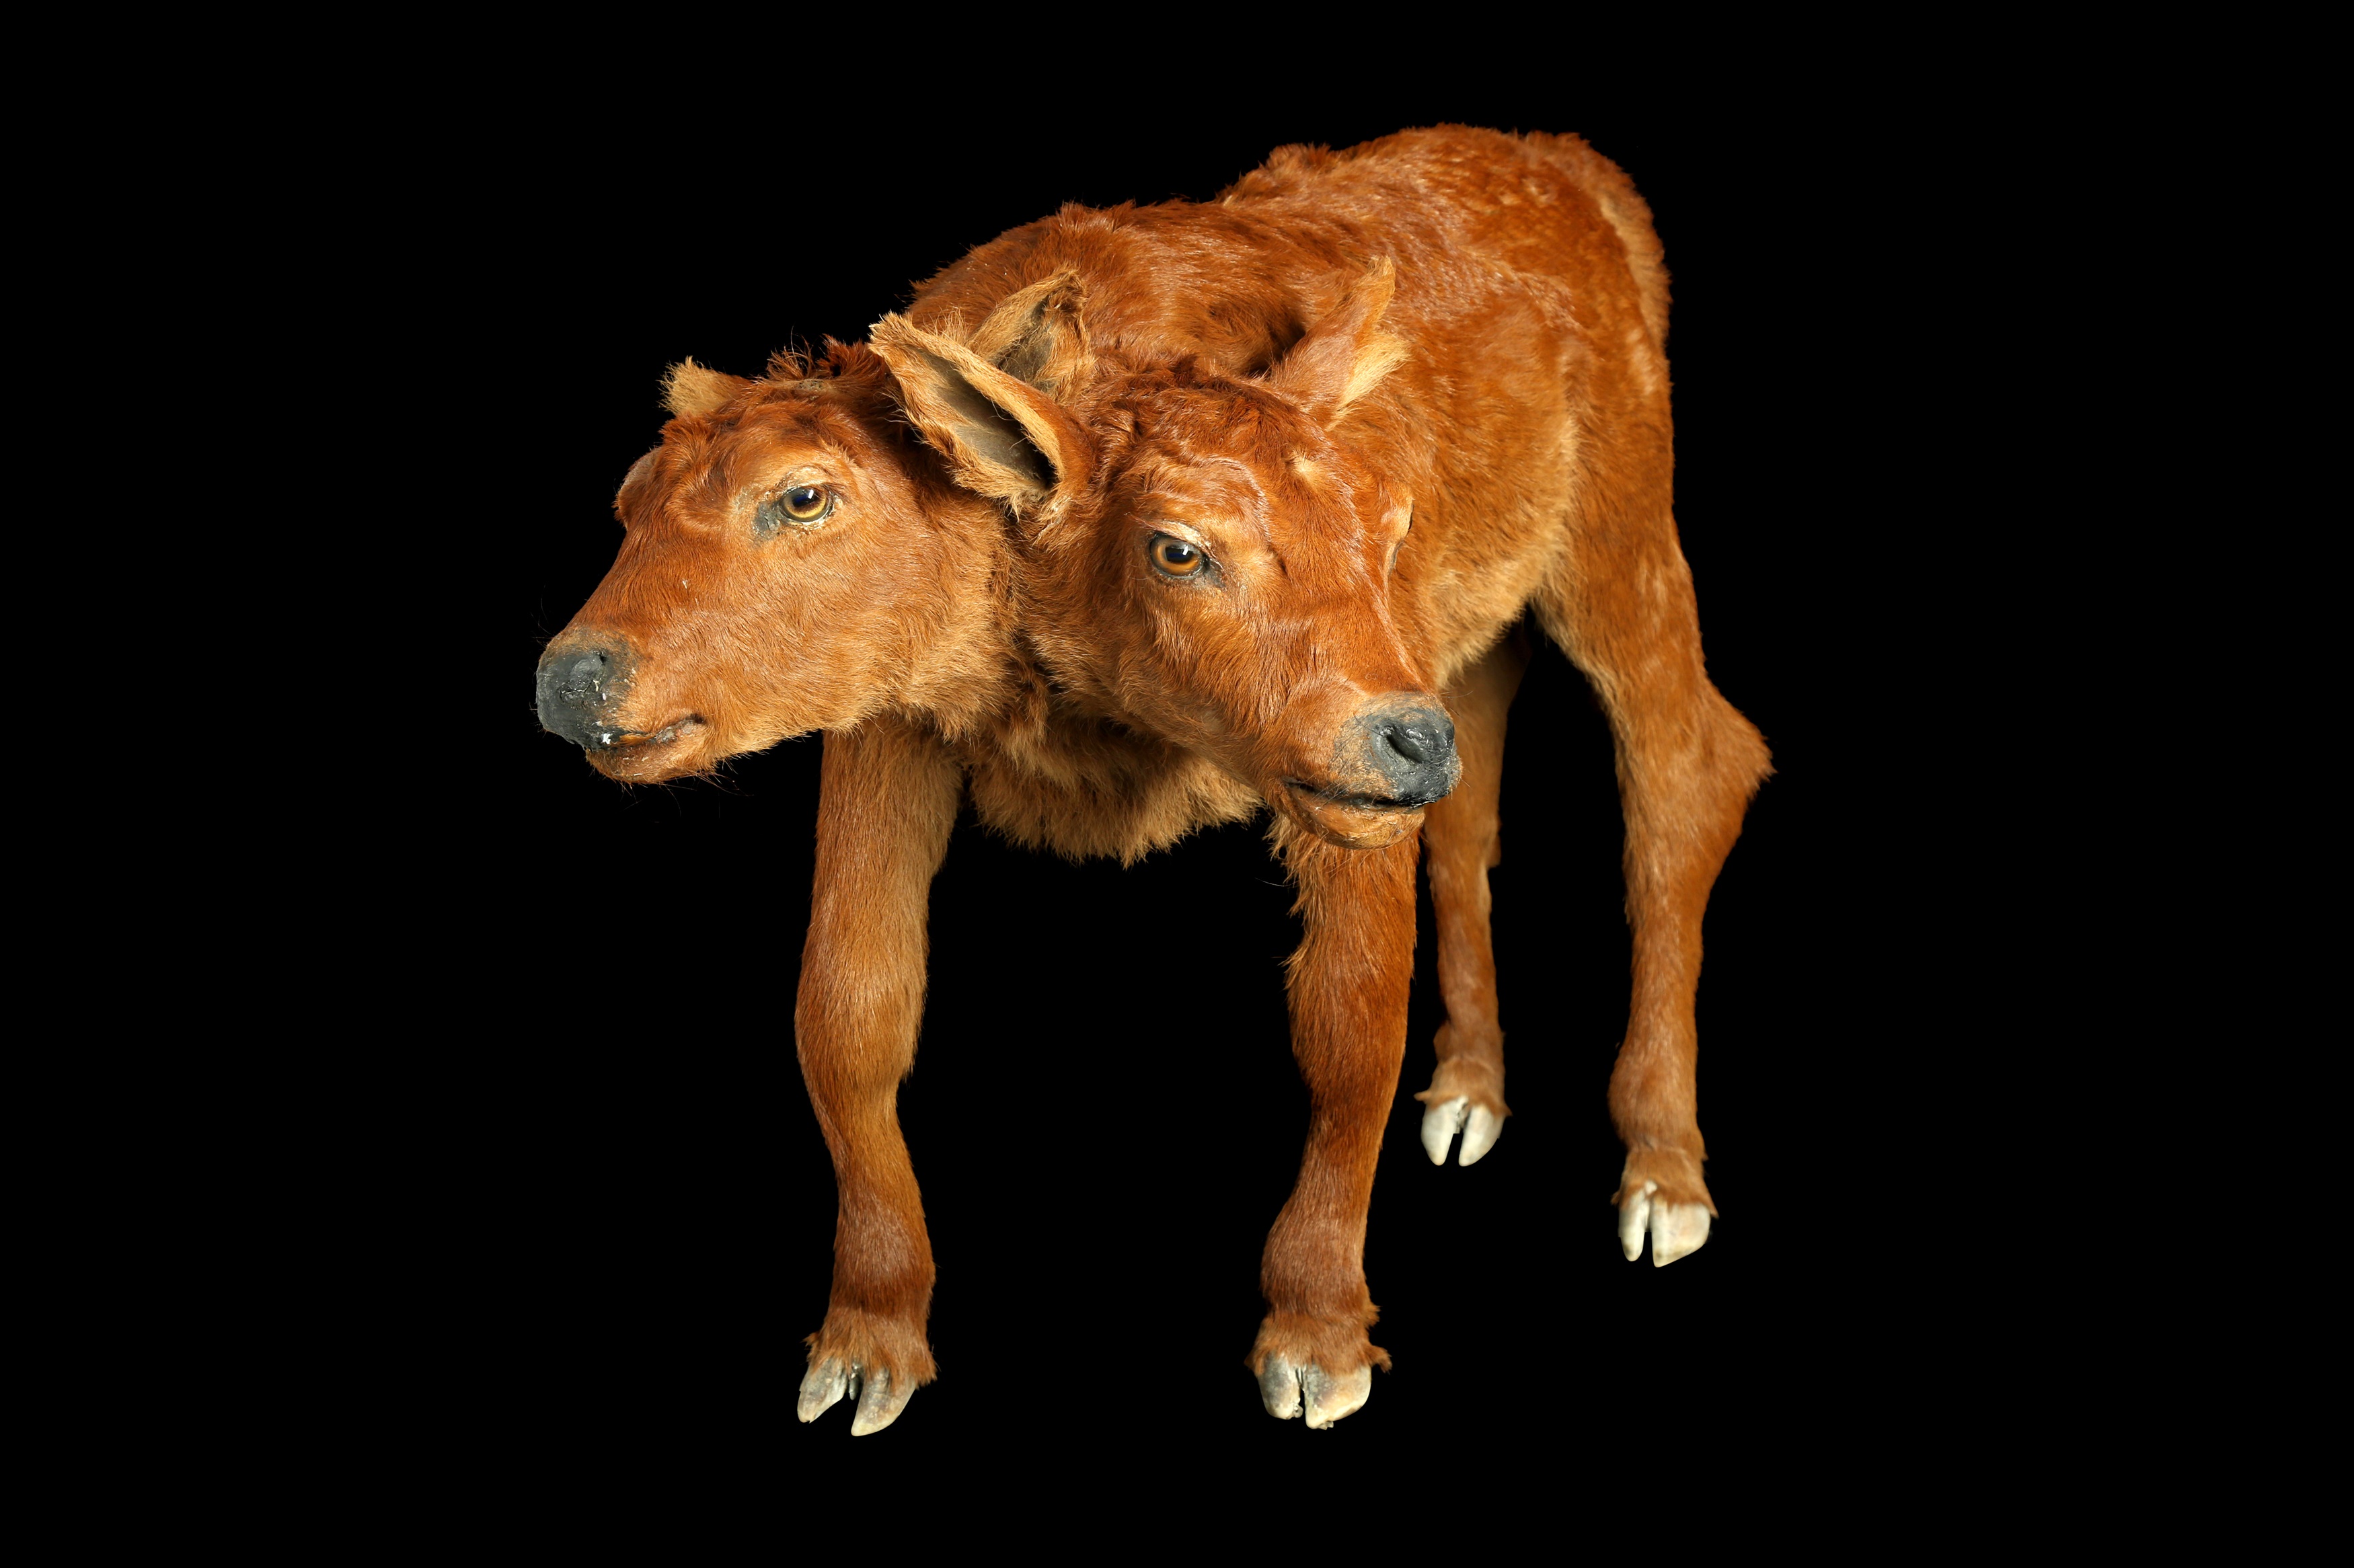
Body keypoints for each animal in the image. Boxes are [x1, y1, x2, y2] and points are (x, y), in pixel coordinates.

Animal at [534, 127, 1768, 1436]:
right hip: (1464, 661)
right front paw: (870, 1336)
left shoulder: (1336, 786)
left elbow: (1348, 1024)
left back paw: (1662, 1172)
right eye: (626, 506)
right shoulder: (890, 729)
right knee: (1473, 798)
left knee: (1686, 774)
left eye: (804, 494)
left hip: (1617, 555)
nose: (571, 676)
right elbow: (849, 1013)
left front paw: (1317, 1336)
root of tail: (1571, 168)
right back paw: (1469, 1091)